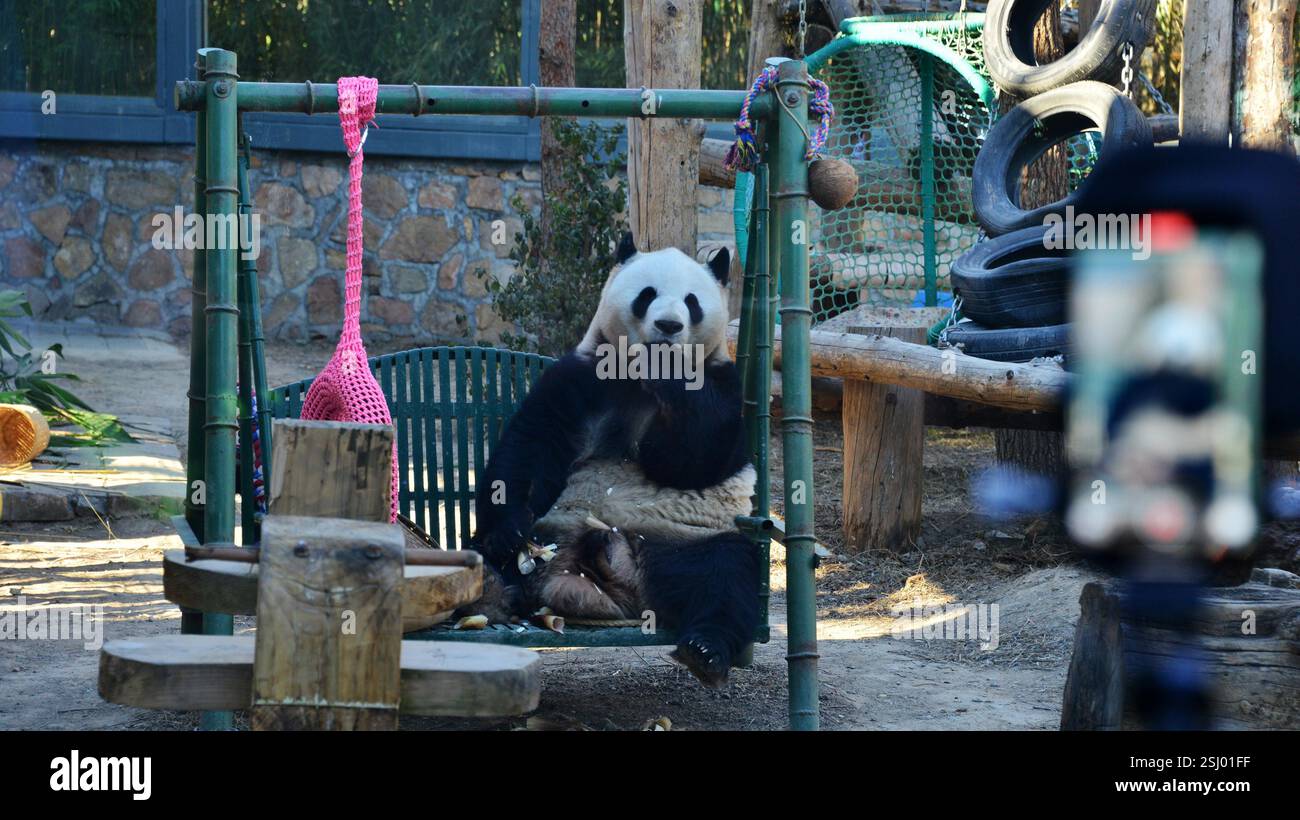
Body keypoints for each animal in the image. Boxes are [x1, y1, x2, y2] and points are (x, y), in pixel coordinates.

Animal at [470, 232, 760, 688]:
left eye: (692, 302)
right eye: (648, 295)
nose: (669, 326)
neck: (636, 378)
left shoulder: (724, 385)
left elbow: (694, 459)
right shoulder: (580, 377)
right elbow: (531, 444)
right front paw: (507, 530)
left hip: (682, 542)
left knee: (727, 576)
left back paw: (704, 651)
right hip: (551, 534)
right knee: (480, 560)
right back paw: (488, 586)